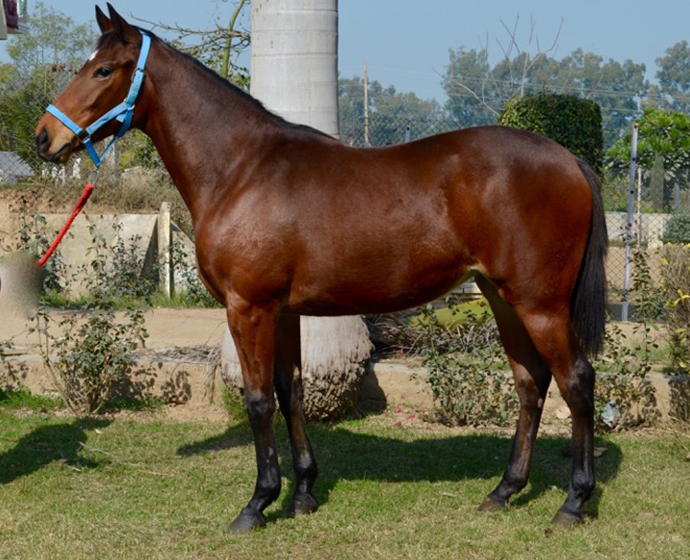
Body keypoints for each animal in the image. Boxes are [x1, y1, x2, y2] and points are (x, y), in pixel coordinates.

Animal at [36, 4, 607, 532]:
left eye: (103, 70)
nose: (44, 137)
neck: (242, 170)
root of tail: (570, 161)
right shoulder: (282, 311)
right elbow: (291, 393)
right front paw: (303, 493)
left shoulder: (249, 308)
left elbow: (259, 400)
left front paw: (258, 503)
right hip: (501, 296)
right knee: (531, 382)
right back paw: (504, 490)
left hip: (540, 304)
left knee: (576, 380)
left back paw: (574, 502)